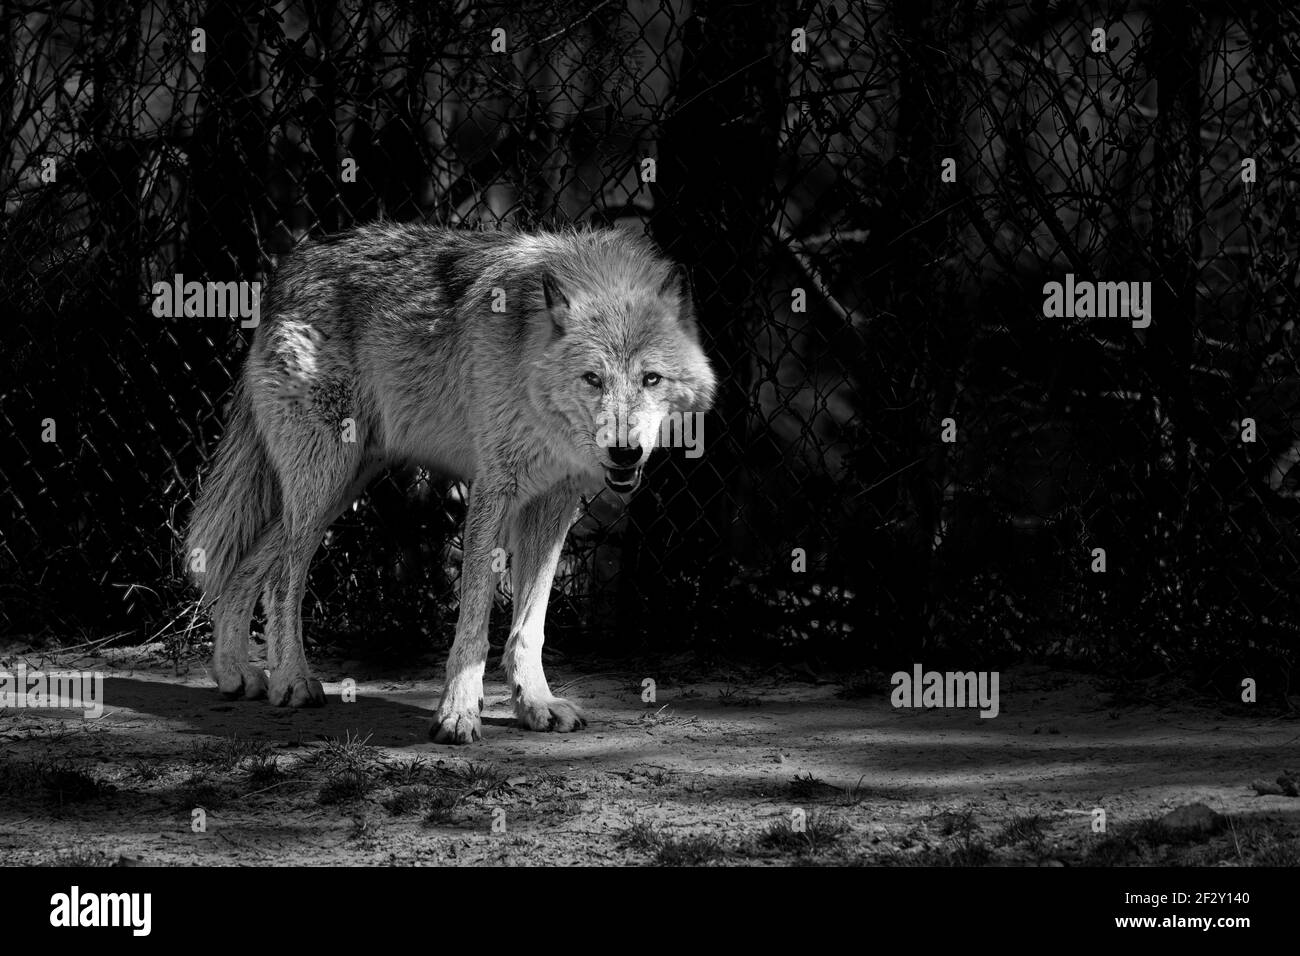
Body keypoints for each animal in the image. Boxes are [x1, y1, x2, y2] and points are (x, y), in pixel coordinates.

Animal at [183, 221, 717, 743]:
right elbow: (475, 619)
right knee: (281, 580)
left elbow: (530, 625)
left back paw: (234, 674)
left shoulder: (554, 501)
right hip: (323, 482)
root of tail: (286, 271)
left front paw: (535, 704)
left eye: (651, 379)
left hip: (342, 485)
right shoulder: (494, 489)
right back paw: (292, 681)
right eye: (592, 378)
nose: (625, 451)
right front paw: (459, 711)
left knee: (246, 566)